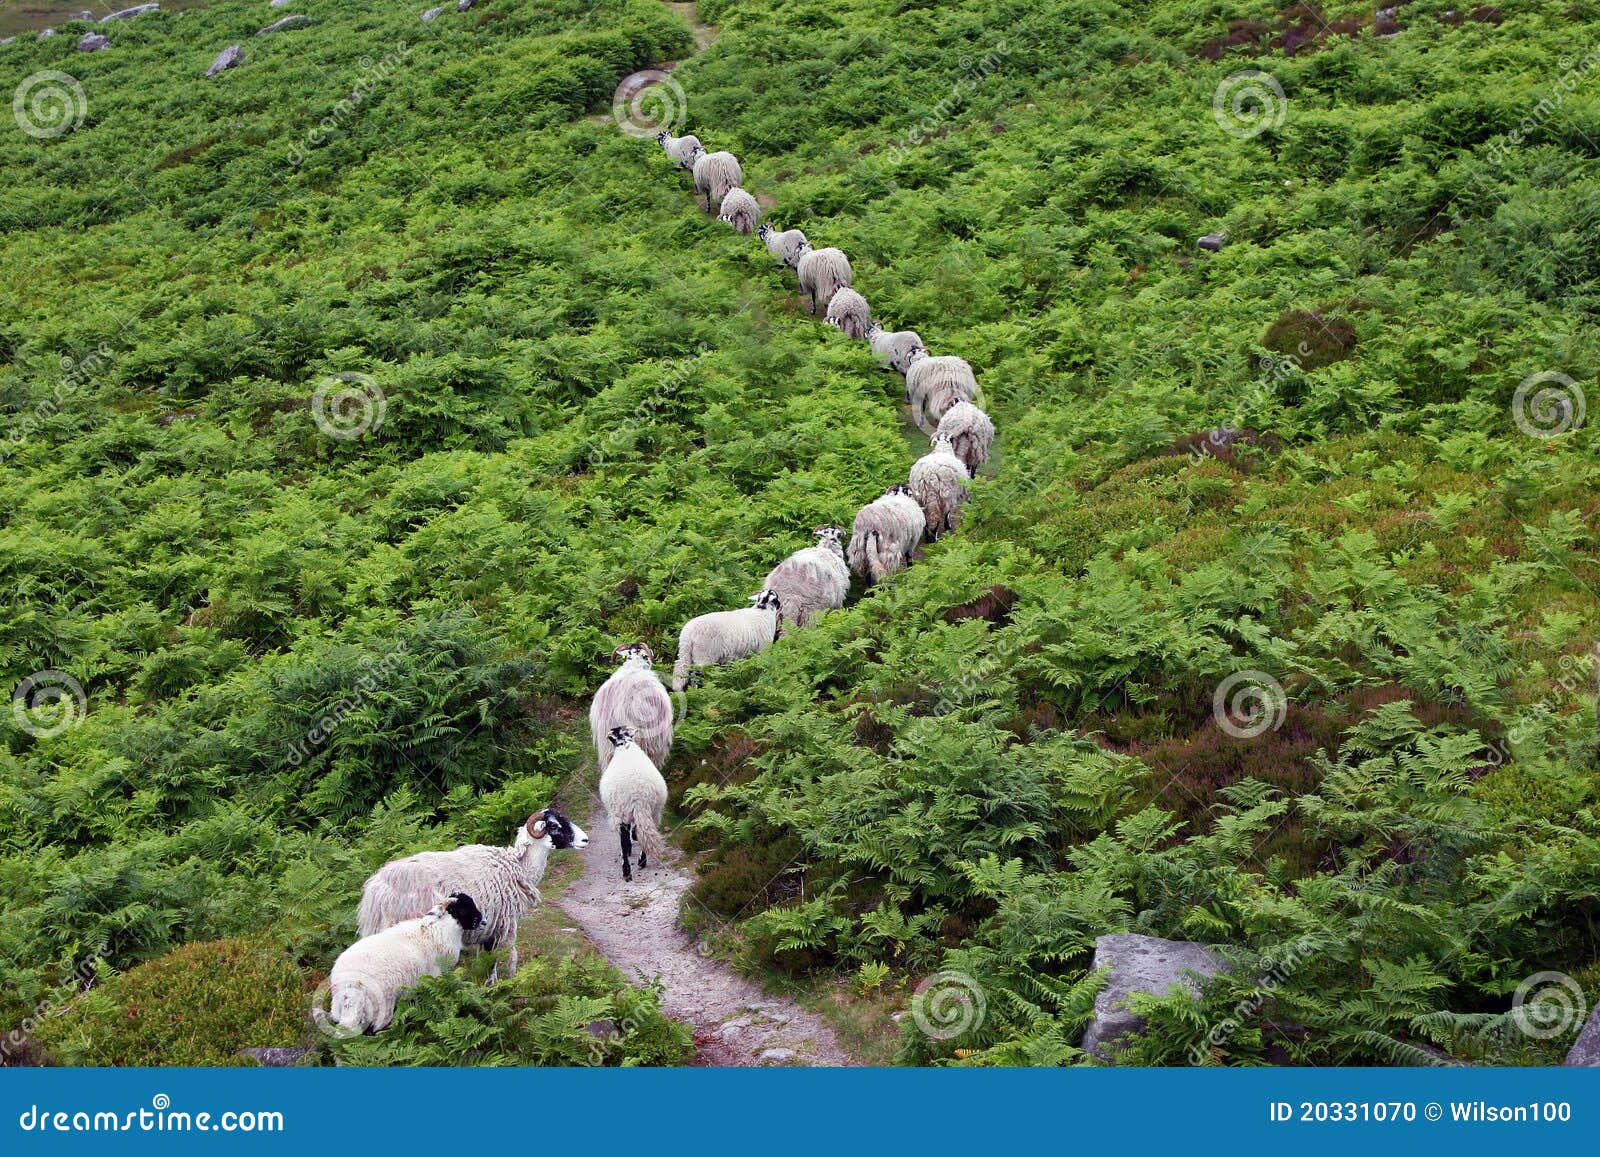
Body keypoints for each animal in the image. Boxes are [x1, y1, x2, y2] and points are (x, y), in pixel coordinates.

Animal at [317, 893, 483, 1035]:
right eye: (464, 908)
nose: (483, 922)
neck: (441, 928)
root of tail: (343, 981)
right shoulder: (434, 975)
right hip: (376, 1005)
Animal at [356, 808, 588, 979]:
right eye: (554, 826)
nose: (586, 840)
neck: (518, 867)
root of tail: (375, 890)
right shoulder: (499, 925)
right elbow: (496, 964)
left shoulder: (487, 928)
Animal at [600, 725, 669, 882]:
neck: (625, 745)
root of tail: (639, 796)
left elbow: (625, 842)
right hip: (653, 811)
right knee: (644, 833)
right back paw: (642, 862)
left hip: (621, 812)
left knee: (624, 842)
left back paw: (627, 871)